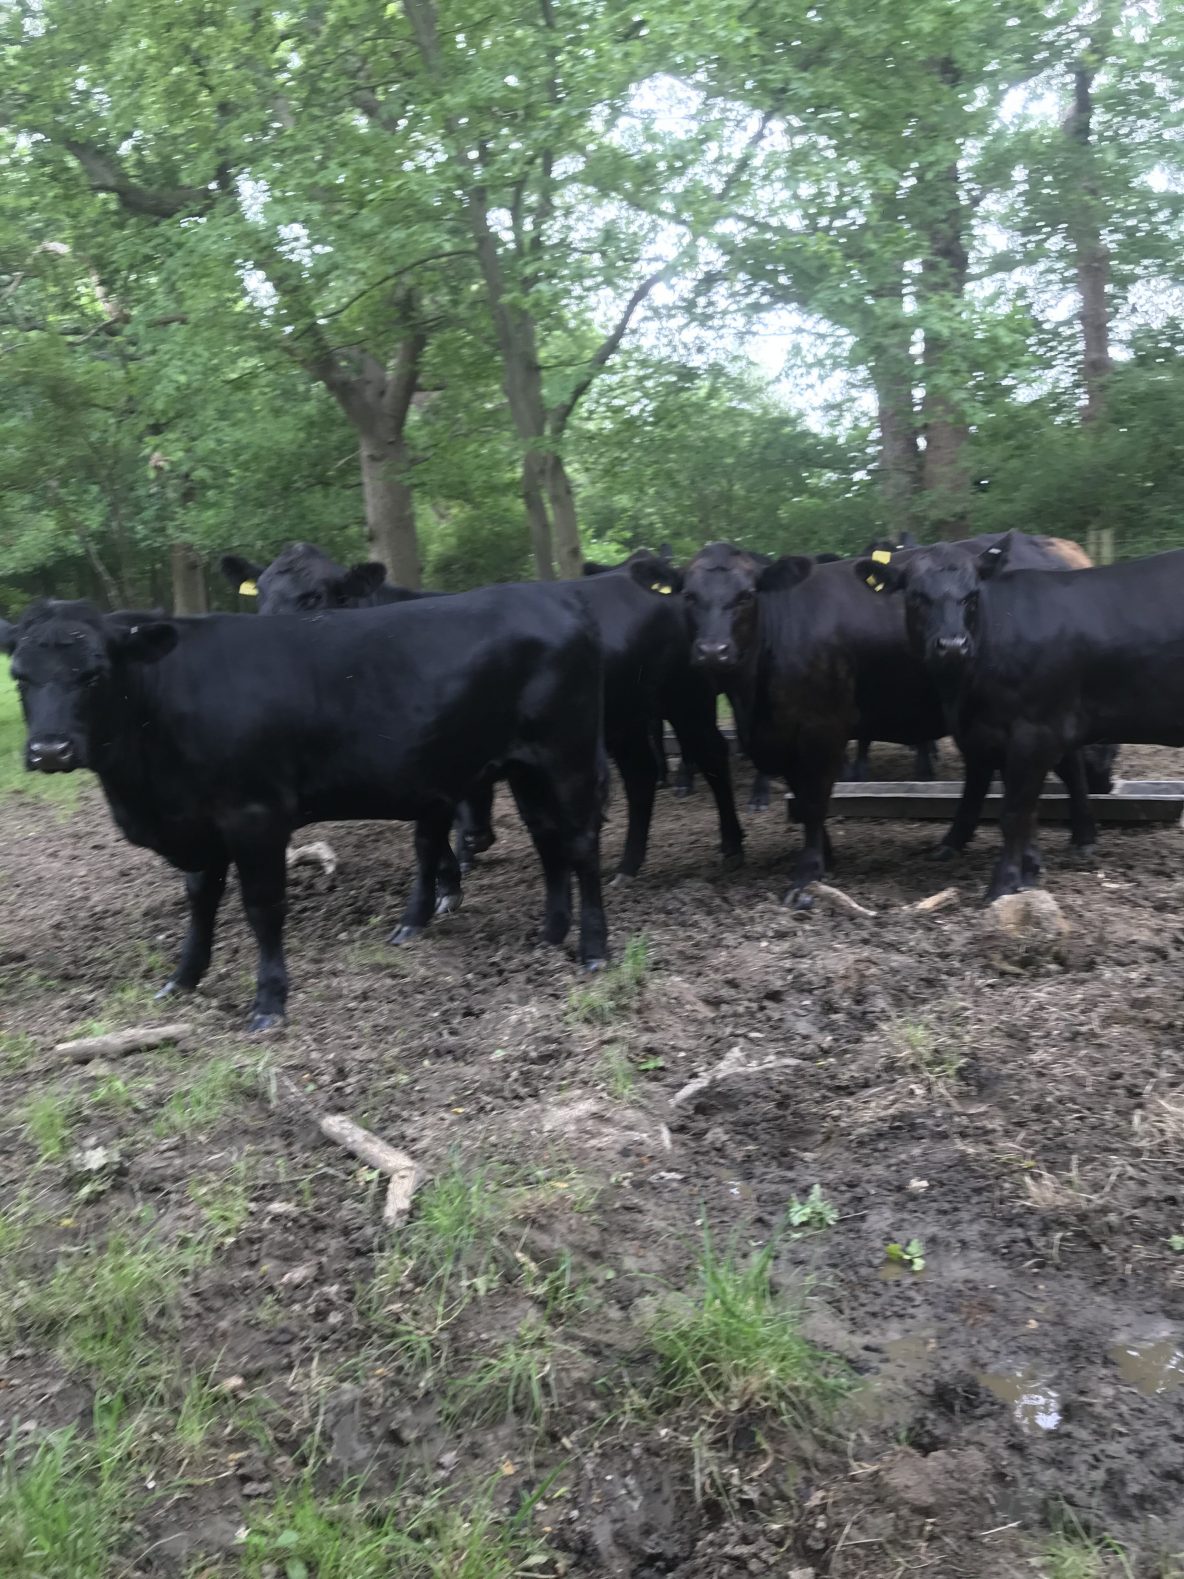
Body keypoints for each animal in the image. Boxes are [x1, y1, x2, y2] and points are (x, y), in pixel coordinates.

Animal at [4, 590, 609, 1029]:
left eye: (94, 672)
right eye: (19, 676)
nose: (50, 750)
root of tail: (556, 602)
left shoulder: (255, 816)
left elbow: (263, 908)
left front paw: (269, 1003)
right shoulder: (199, 825)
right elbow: (199, 903)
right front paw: (182, 979)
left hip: (568, 757)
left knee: (580, 844)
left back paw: (594, 948)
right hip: (525, 769)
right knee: (548, 840)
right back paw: (549, 936)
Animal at [224, 542, 745, 881]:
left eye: (313, 596)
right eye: (260, 593)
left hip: (687, 697)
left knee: (714, 755)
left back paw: (732, 845)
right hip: (626, 716)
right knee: (639, 776)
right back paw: (628, 866)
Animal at [640, 535, 1100, 902]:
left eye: (746, 595)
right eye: (689, 597)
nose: (712, 651)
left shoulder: (824, 726)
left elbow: (813, 799)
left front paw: (808, 872)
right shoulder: (783, 735)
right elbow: (803, 796)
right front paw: (825, 854)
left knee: (1064, 765)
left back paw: (1080, 838)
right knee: (990, 770)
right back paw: (958, 841)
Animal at [851, 533, 1168, 899]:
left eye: (973, 595)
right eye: (917, 596)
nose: (953, 645)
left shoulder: (1029, 729)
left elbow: (1014, 805)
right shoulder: (980, 731)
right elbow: (990, 789)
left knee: (1070, 768)